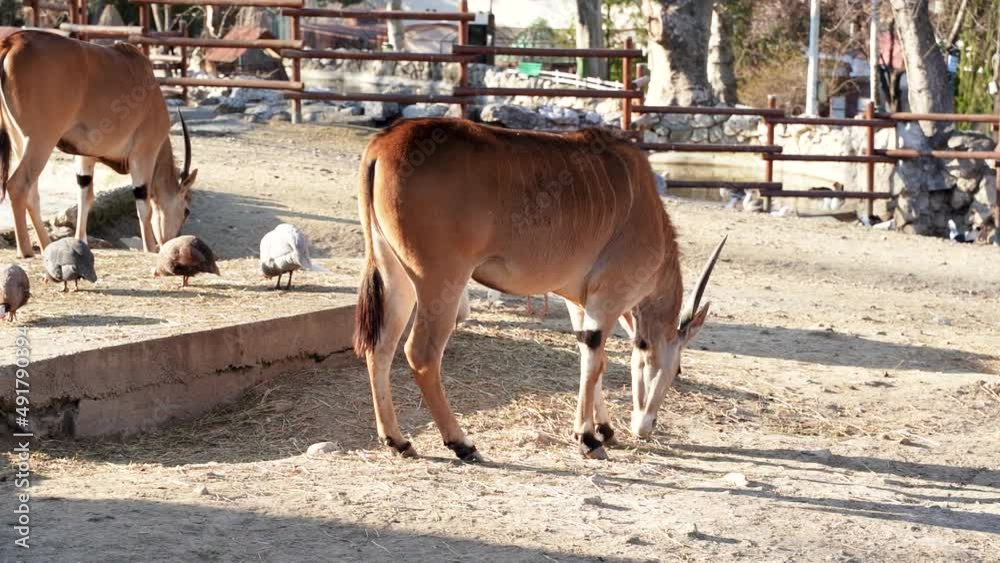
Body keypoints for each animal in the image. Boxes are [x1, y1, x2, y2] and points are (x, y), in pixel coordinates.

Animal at [0, 30, 195, 258]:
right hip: (40, 141)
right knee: (17, 185)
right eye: (186, 210)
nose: (172, 242)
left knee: (32, 194)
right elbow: (143, 205)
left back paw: (46, 244)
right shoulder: (143, 153)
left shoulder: (85, 157)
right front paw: (150, 248)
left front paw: (80, 241)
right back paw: (25, 250)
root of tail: (13, 41)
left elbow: (85, 198)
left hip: (20, 143)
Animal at [354, 119, 726, 461]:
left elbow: (594, 359)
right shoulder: (608, 298)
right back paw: (461, 443)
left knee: (380, 347)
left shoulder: (581, 303)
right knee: (421, 353)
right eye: (677, 370)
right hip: (441, 282)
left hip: (396, 278)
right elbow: (594, 361)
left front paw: (604, 429)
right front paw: (588, 438)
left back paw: (397, 440)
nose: (646, 427)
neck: (643, 200)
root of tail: (385, 142)